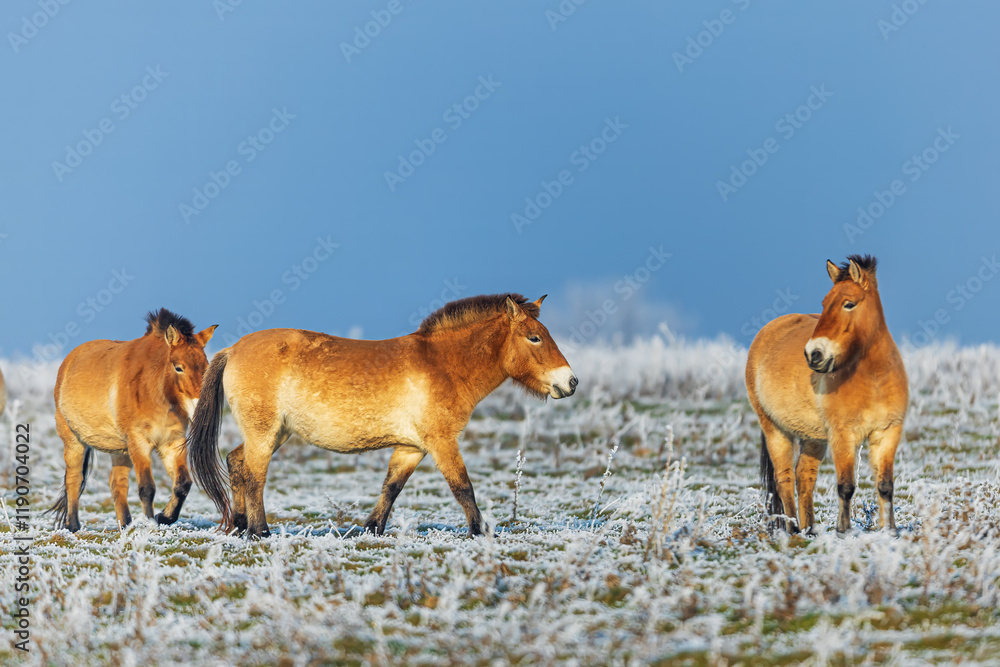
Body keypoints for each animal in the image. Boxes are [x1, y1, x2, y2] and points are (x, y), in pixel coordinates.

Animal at [48, 309, 217, 532]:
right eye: (178, 367)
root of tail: (69, 360)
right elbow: (147, 488)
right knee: (74, 479)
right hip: (74, 441)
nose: (200, 409)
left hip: (120, 450)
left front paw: (164, 517)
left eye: (206, 367)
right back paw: (73, 525)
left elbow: (183, 484)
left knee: (117, 484)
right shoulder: (139, 442)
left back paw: (126, 525)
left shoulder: (173, 442)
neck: (156, 392)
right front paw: (151, 523)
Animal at [189, 293, 578, 539]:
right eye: (534, 338)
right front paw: (480, 531)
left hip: (275, 433)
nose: (570, 382)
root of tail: (233, 348)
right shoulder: (442, 442)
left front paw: (371, 529)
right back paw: (260, 531)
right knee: (254, 476)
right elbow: (462, 487)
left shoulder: (412, 448)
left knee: (236, 462)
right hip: (265, 433)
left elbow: (391, 488)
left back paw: (239, 525)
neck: (442, 364)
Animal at [745, 255, 908, 534]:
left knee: (804, 476)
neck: (874, 379)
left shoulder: (887, 432)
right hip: (775, 429)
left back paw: (809, 530)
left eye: (849, 304)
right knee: (785, 477)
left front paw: (890, 532)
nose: (814, 354)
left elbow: (885, 486)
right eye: (824, 303)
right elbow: (846, 486)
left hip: (813, 437)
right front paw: (843, 532)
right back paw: (793, 530)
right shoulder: (843, 436)